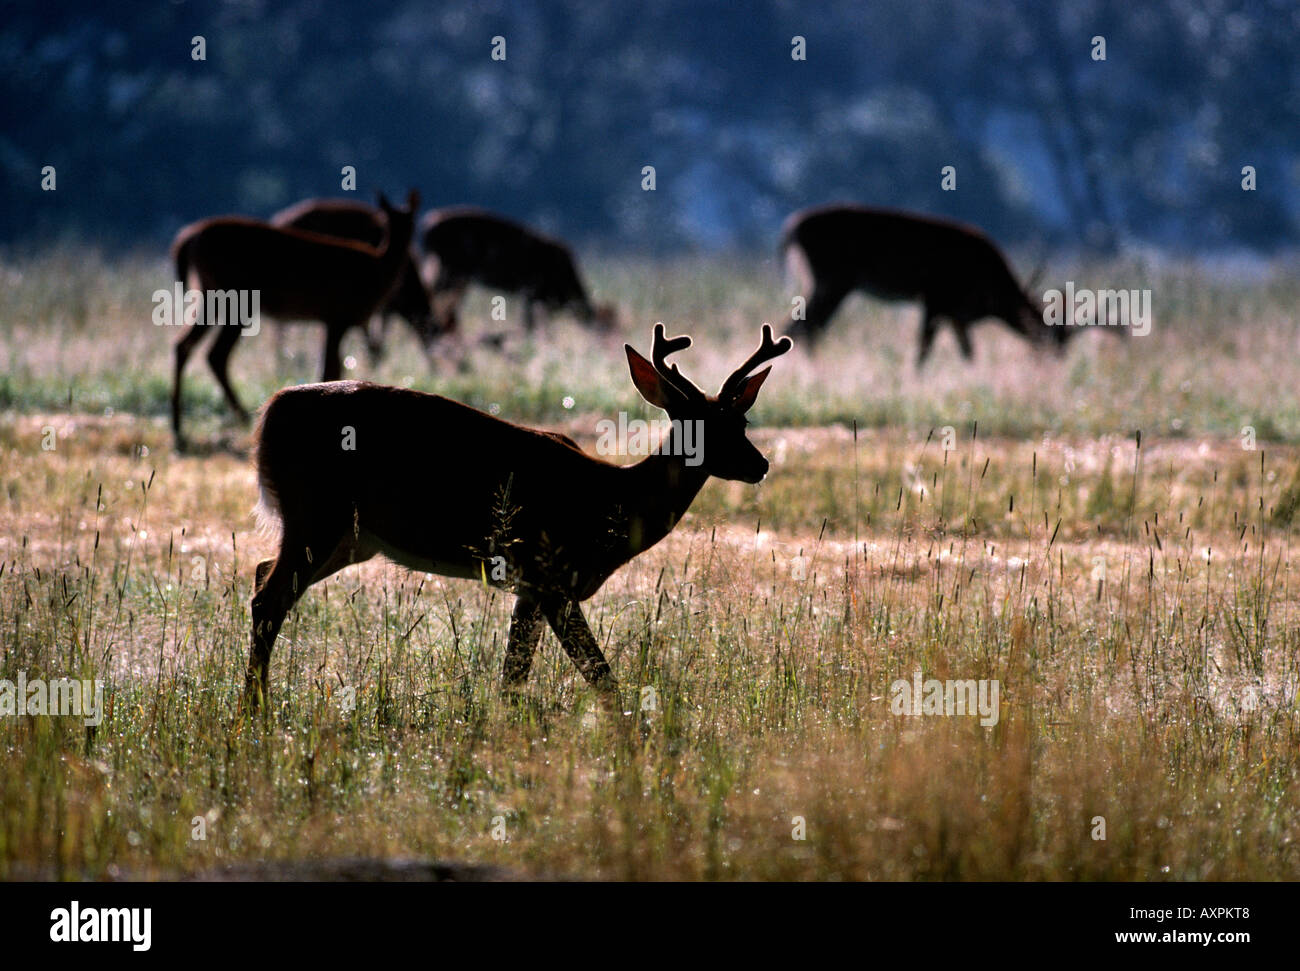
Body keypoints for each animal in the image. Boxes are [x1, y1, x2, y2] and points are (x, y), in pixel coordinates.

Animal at [169, 190, 419, 447]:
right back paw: (240, 417)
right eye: (384, 221)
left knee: (186, 345)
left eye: (410, 221)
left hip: (212, 294)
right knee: (215, 353)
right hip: (235, 296)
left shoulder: (328, 321)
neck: (379, 271)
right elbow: (330, 368)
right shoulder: (338, 317)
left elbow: (332, 366)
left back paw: (178, 426)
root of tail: (188, 239)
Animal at [244, 322, 792, 709]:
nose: (760, 464)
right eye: (698, 425)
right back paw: (255, 712)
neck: (612, 499)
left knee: (261, 576)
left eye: (741, 420)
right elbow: (600, 676)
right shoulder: (550, 578)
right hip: (317, 513)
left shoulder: (529, 586)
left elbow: (513, 676)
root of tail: (268, 413)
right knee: (268, 600)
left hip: (349, 538)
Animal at [780, 204, 1096, 366]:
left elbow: (969, 353)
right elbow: (923, 350)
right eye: (1053, 338)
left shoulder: (956, 315)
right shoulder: (935, 298)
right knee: (806, 327)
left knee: (805, 327)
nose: (1057, 362)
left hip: (831, 282)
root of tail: (791, 229)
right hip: (833, 279)